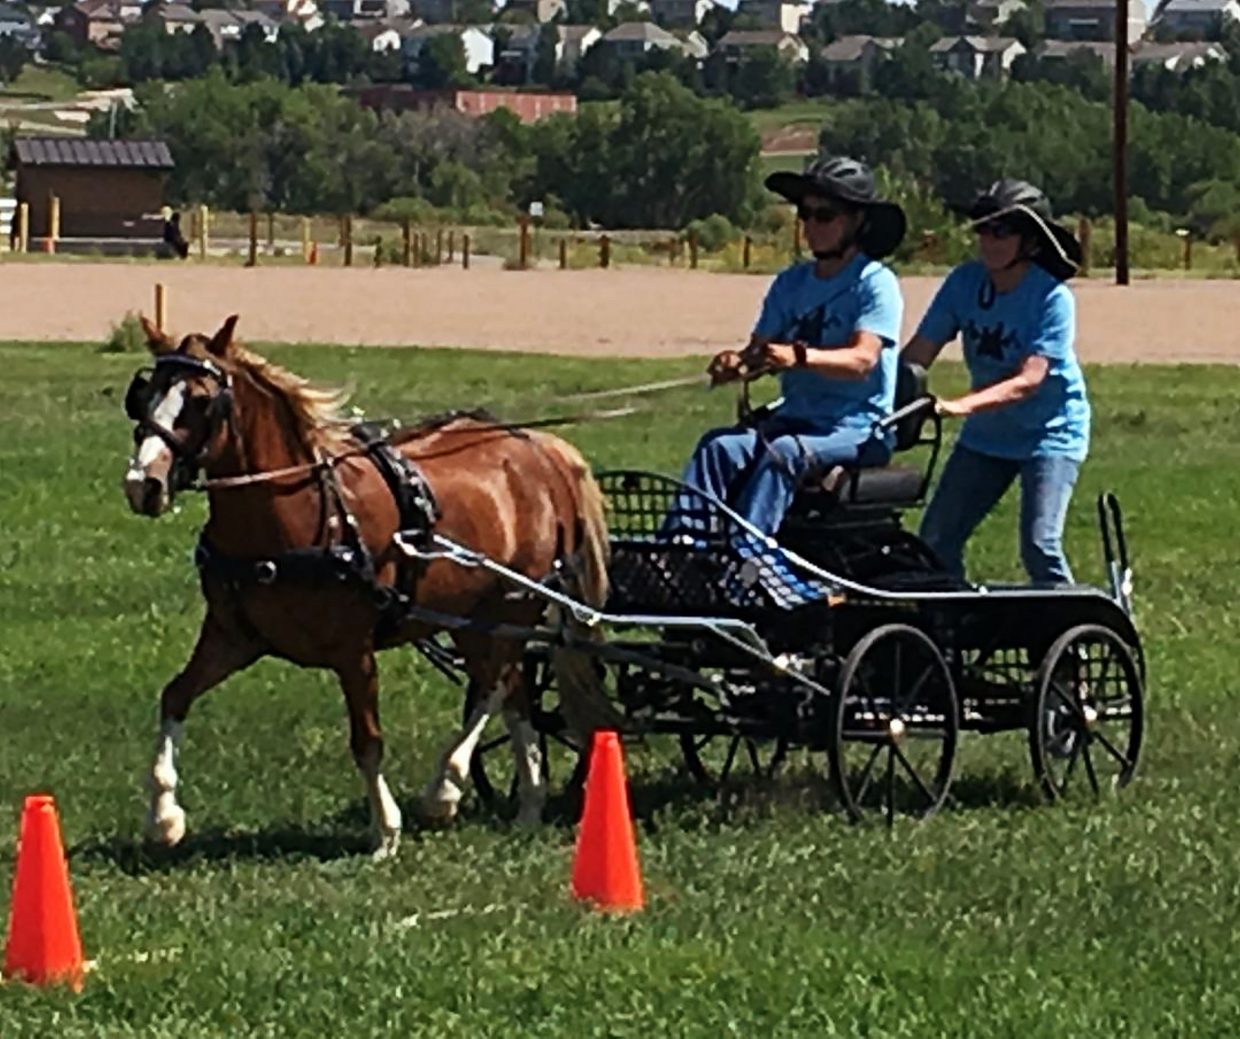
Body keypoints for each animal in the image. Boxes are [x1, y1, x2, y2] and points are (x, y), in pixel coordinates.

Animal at [120, 315, 613, 858]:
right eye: (143, 395)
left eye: (202, 400)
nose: (143, 485)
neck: (298, 514)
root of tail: (535, 447)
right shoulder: (233, 637)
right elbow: (174, 697)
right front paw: (164, 817)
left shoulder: (353, 650)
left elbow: (367, 739)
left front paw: (386, 831)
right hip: (473, 617)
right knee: (516, 693)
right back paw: (528, 805)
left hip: (511, 608)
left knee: (494, 686)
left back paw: (445, 790)